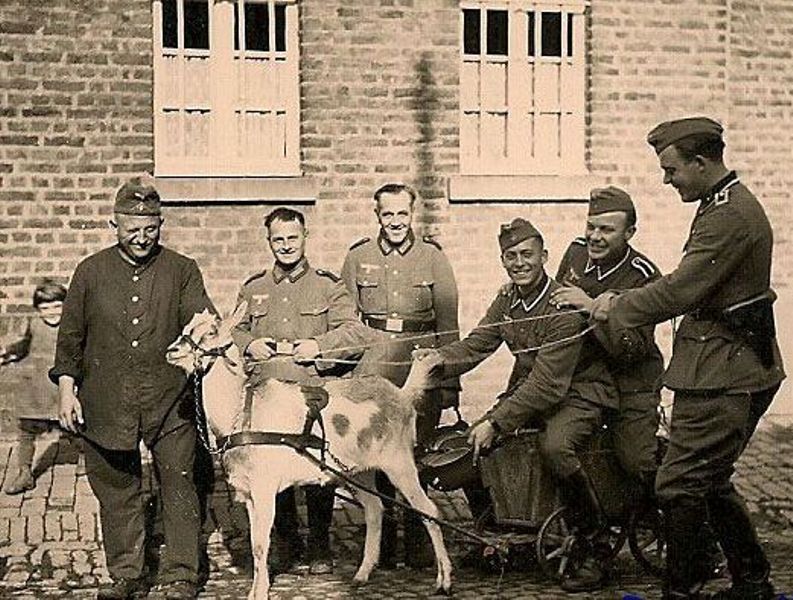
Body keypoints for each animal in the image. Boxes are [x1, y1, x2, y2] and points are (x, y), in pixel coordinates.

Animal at [166, 303, 453, 599]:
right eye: (187, 327)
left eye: (211, 331)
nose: (172, 351)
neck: (245, 410)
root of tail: (403, 395)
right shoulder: (248, 494)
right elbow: (257, 543)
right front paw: (256, 590)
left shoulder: (264, 488)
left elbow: (260, 543)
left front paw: (260, 593)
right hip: (358, 471)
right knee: (375, 508)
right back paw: (361, 575)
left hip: (399, 461)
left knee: (428, 510)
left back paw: (443, 581)